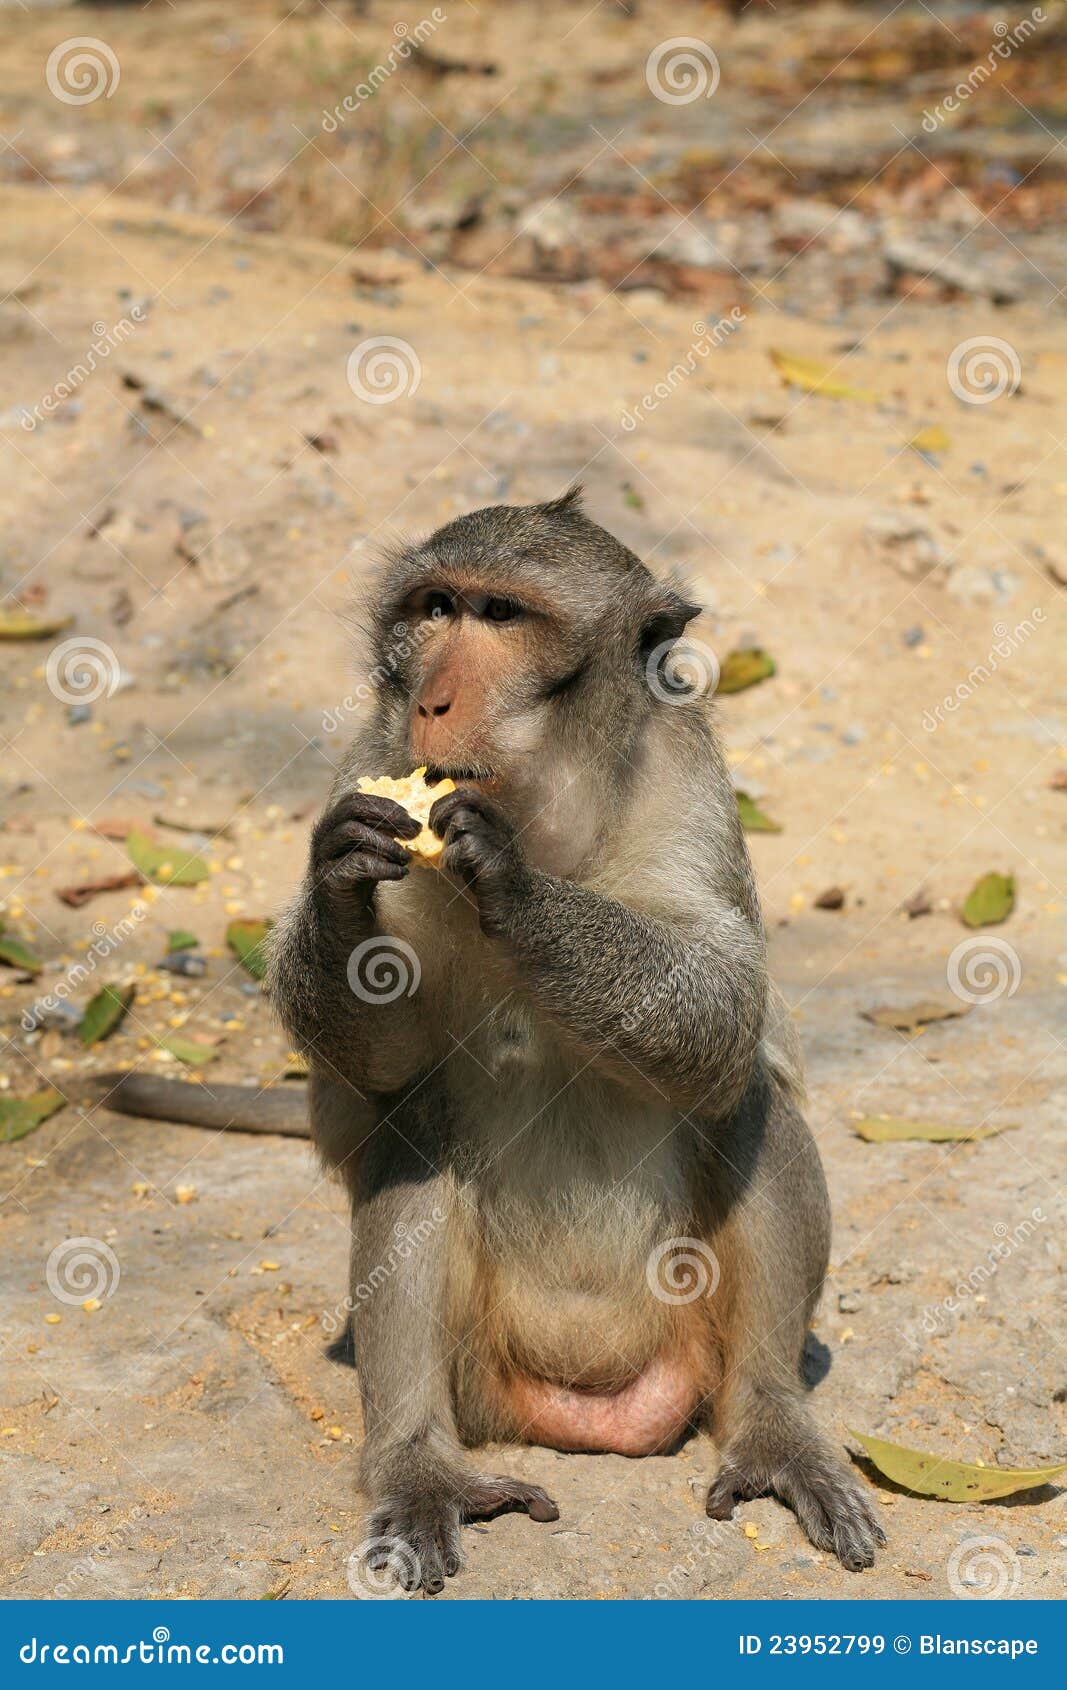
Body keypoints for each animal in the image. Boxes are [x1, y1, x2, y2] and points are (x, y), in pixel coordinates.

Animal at [99, 489, 884, 1592]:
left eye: (502, 615)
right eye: (435, 607)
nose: (430, 700)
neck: (547, 812)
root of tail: (596, 1402)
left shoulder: (687, 778)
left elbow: (725, 1007)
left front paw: (513, 888)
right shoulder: (363, 761)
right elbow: (377, 1064)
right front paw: (341, 888)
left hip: (692, 1343)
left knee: (746, 1108)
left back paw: (772, 1425)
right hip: (482, 1371)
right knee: (413, 1139)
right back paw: (419, 1463)